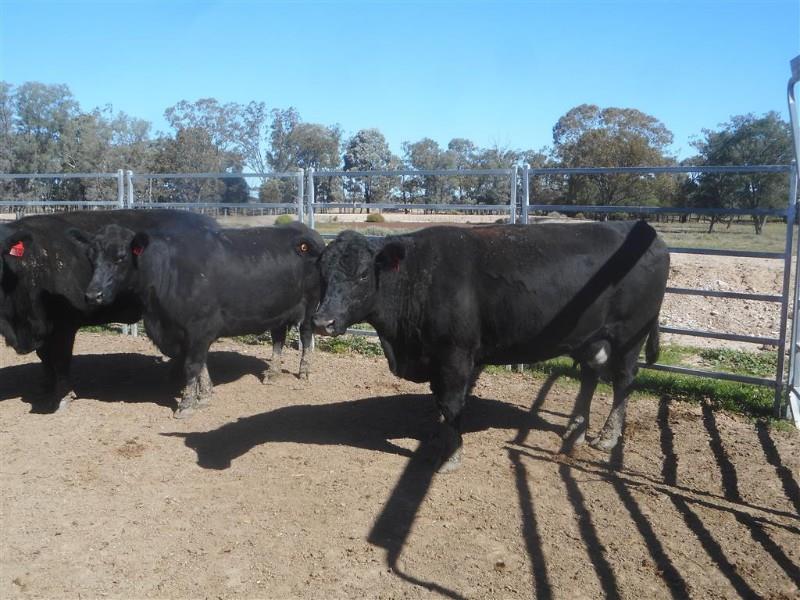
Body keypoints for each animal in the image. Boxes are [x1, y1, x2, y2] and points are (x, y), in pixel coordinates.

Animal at [73, 221, 325, 418]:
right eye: (91, 257)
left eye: (120, 257)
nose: (92, 295)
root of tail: (303, 230)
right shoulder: (187, 333)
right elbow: (200, 363)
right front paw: (205, 394)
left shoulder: (199, 328)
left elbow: (192, 365)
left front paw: (186, 403)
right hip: (278, 308)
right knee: (278, 336)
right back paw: (272, 372)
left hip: (310, 305)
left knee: (306, 335)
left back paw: (304, 371)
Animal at [313, 221, 670, 471]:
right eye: (322, 274)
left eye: (362, 275)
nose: (322, 321)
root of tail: (647, 232)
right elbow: (439, 401)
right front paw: (439, 439)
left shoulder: (456, 354)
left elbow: (451, 403)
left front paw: (451, 455)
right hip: (590, 337)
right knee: (591, 374)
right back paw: (575, 430)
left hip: (630, 335)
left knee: (623, 380)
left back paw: (606, 438)